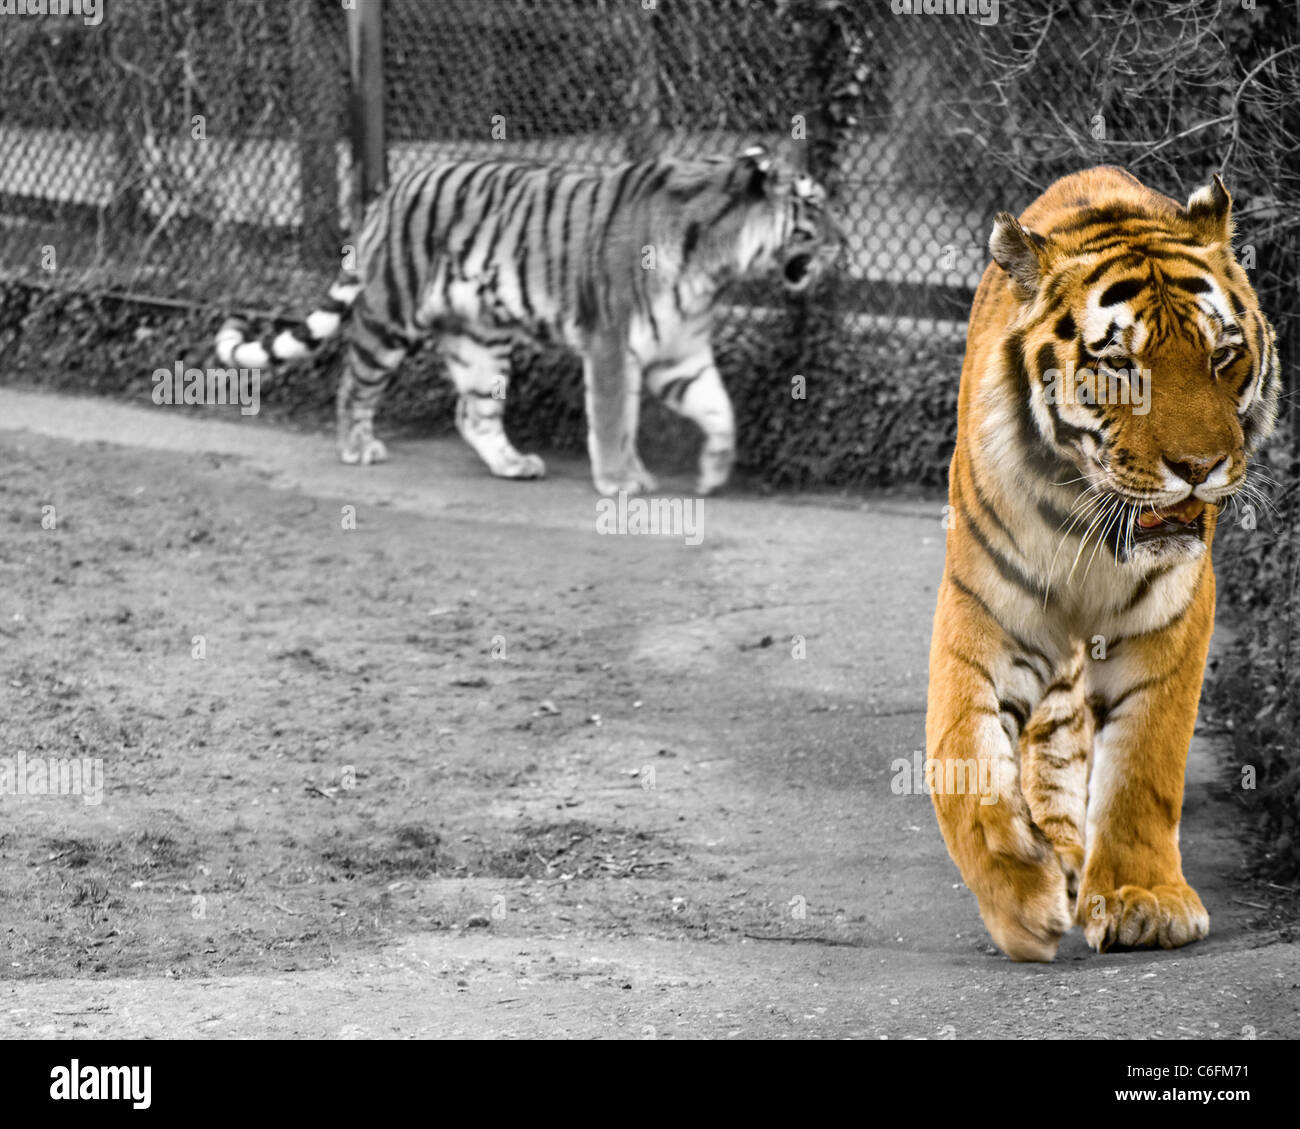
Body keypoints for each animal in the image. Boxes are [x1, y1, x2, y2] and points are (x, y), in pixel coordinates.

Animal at [214, 145, 836, 496]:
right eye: (815, 206)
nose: (844, 243)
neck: (719, 263)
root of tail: (390, 189)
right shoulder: (612, 343)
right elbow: (615, 420)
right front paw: (620, 482)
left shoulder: (680, 352)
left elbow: (719, 409)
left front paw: (713, 472)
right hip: (392, 314)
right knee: (353, 383)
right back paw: (357, 447)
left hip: (480, 340)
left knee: (473, 412)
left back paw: (513, 464)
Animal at [926, 166, 1280, 962]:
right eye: (1120, 366)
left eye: (1222, 356)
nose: (1199, 468)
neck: (1085, 518)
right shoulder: (980, 615)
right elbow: (961, 760)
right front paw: (1020, 895)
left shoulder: (1171, 615)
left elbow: (1144, 761)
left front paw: (1141, 900)